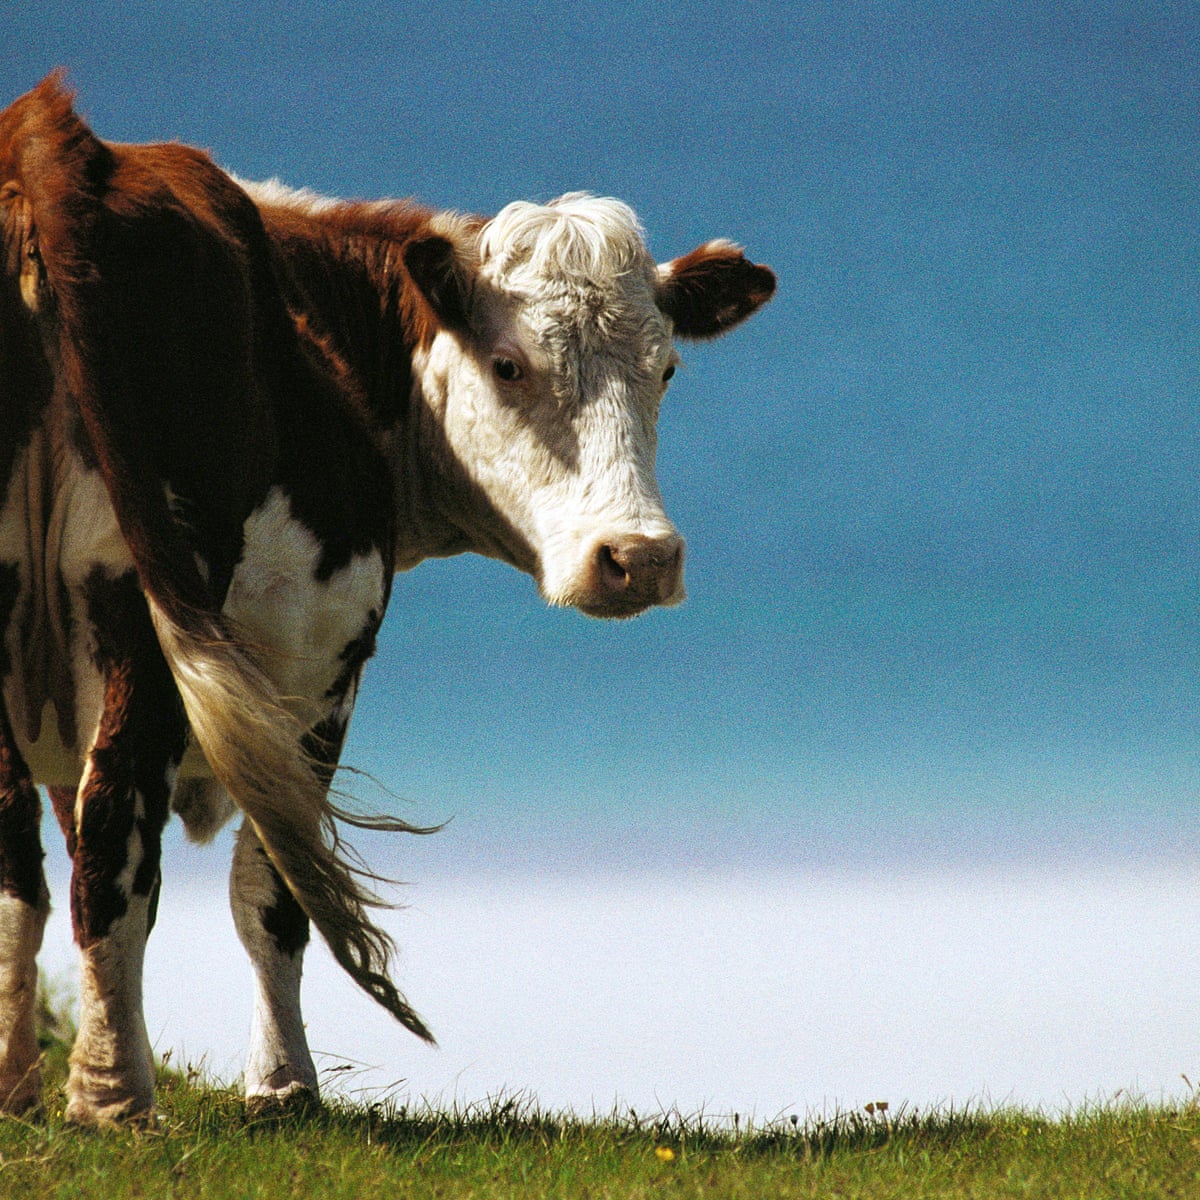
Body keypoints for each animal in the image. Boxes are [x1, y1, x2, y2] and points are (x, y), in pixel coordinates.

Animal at [0, 74, 775, 1125]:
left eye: (667, 369)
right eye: (509, 364)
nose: (639, 557)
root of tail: (62, 143)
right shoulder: (330, 668)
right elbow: (275, 885)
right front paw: (285, 1084)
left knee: (32, 867)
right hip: (143, 617)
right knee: (117, 838)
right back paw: (116, 1097)